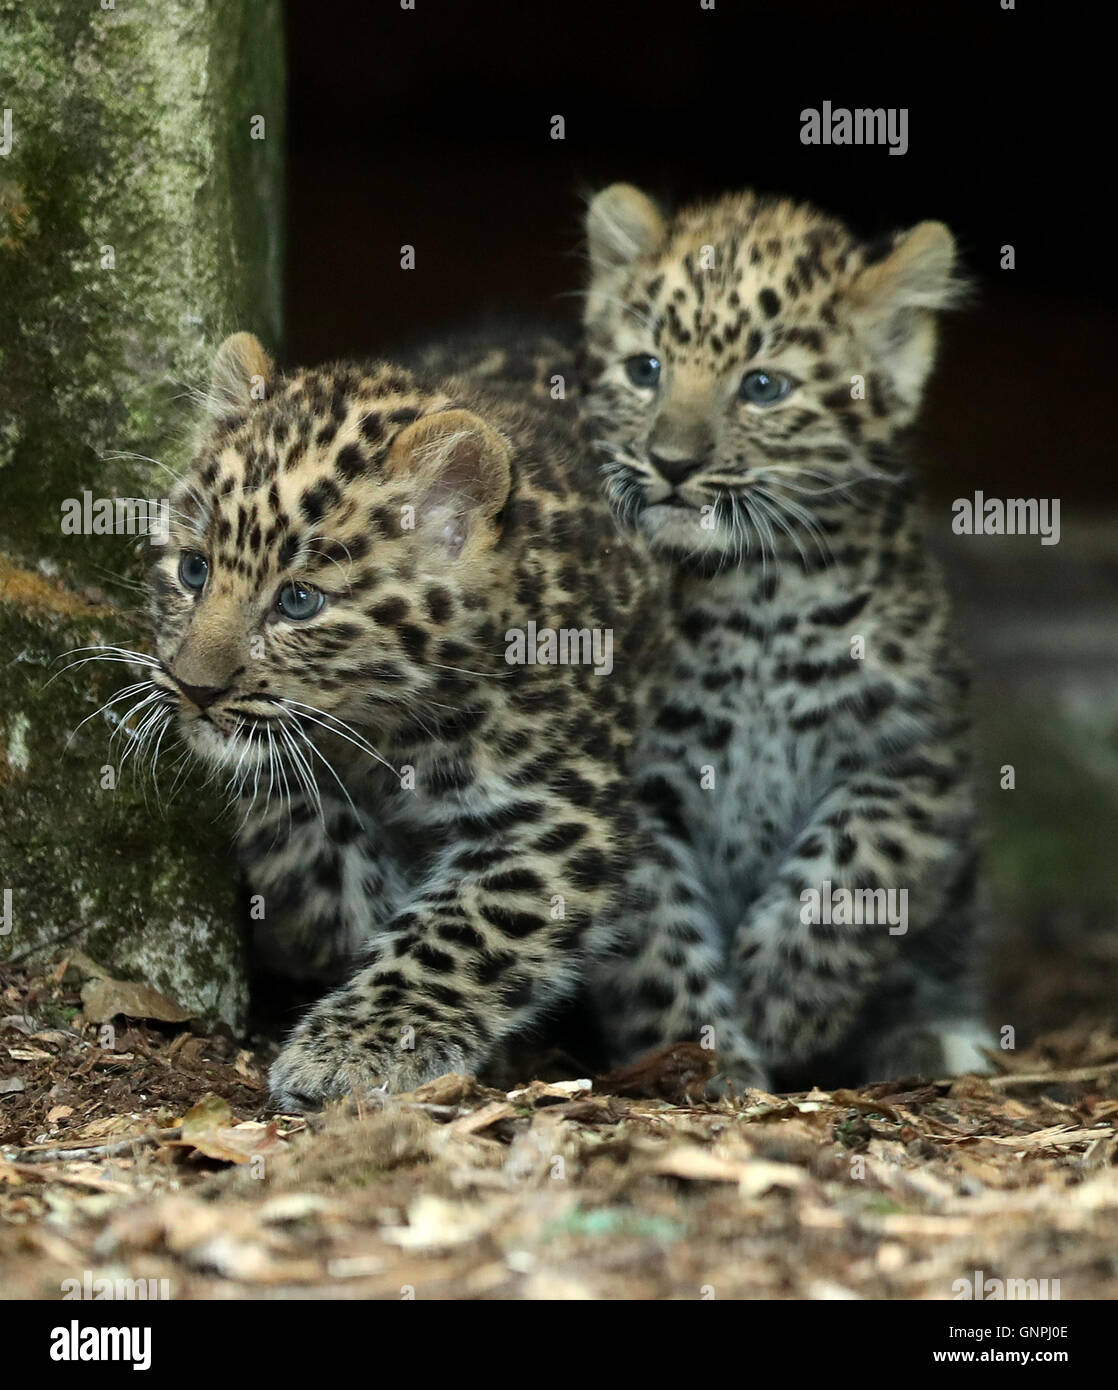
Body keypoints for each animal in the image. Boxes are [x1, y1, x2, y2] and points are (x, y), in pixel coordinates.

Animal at [137, 330, 678, 1110]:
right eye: (193, 571)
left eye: (299, 602)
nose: (193, 688)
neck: (383, 727)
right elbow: (311, 847)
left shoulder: (562, 815)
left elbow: (459, 932)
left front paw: (355, 1048)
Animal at [576, 184, 996, 1088]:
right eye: (645, 370)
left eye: (763, 387)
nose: (671, 462)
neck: (757, 593)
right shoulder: (636, 782)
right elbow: (658, 931)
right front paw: (708, 1057)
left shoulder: (912, 755)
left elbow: (852, 865)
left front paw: (782, 1000)